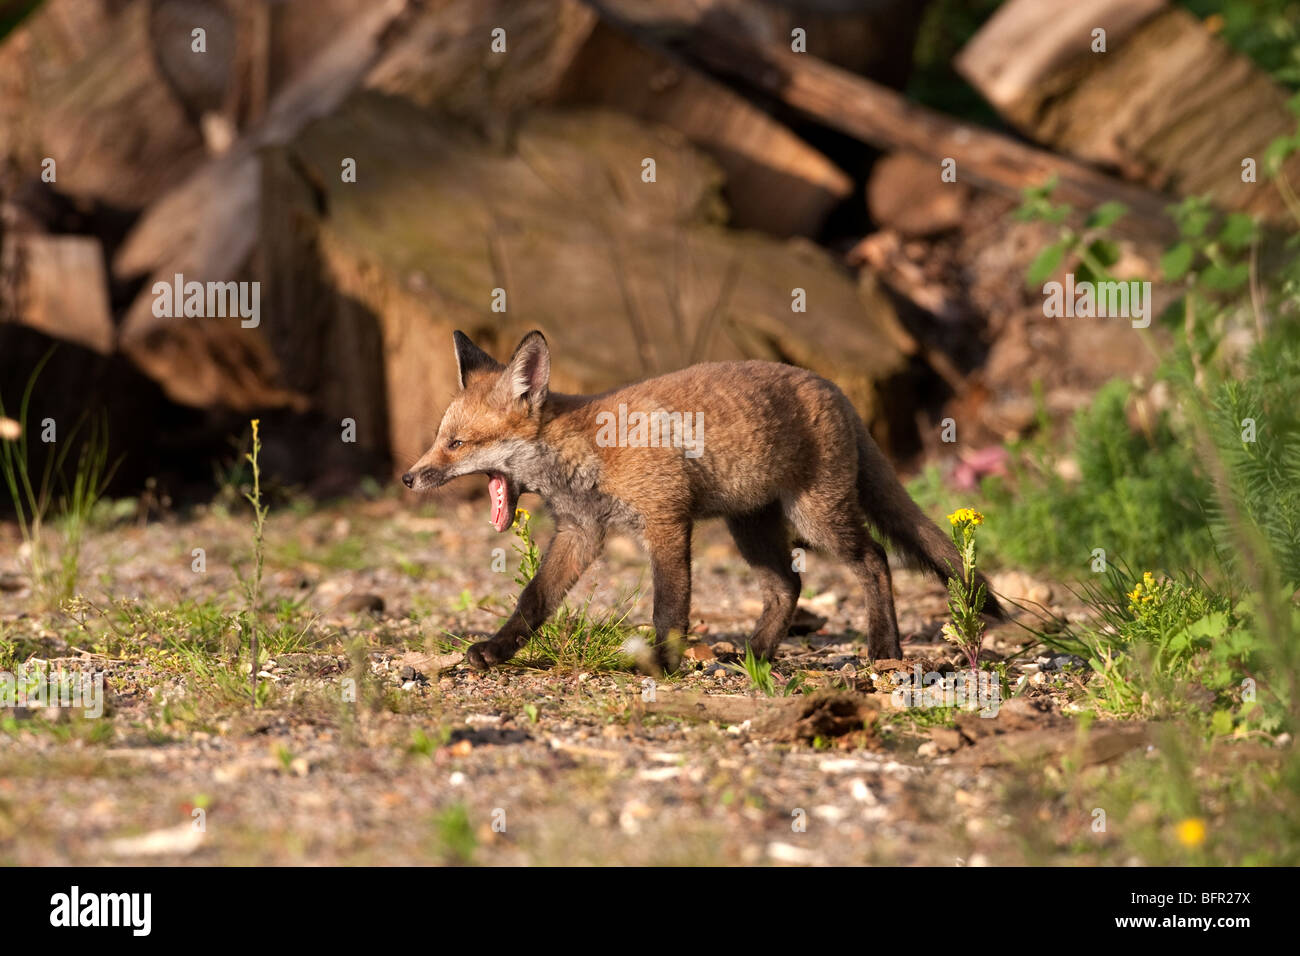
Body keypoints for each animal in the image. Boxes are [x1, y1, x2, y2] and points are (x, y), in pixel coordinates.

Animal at [402, 329, 1003, 672]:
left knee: (875, 560)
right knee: (788, 587)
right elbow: (534, 600)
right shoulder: (580, 532)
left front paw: (663, 663)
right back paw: (757, 656)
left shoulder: (666, 519)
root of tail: (833, 388)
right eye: (440, 437)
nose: (408, 478)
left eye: (456, 444)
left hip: (817, 517)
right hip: (750, 527)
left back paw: (885, 650)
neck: (588, 450)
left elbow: (669, 606)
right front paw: (496, 650)